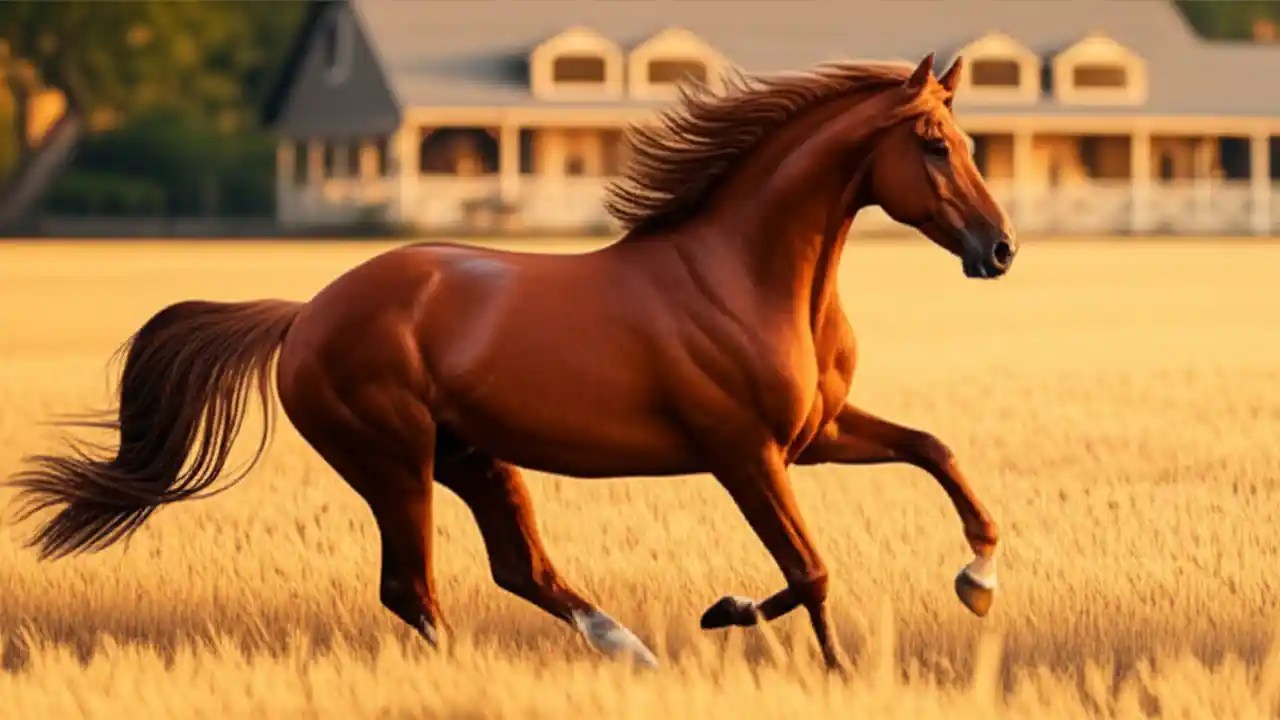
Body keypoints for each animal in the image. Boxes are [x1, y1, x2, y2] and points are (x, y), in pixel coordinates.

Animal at [7, 52, 1015, 672]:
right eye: (934, 146)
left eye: (973, 143)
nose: (998, 250)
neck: (744, 275)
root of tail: (304, 316)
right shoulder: (745, 453)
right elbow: (811, 570)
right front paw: (755, 626)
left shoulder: (817, 432)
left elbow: (936, 451)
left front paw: (977, 583)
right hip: (395, 461)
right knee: (413, 585)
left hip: (475, 459)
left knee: (519, 569)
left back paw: (629, 651)